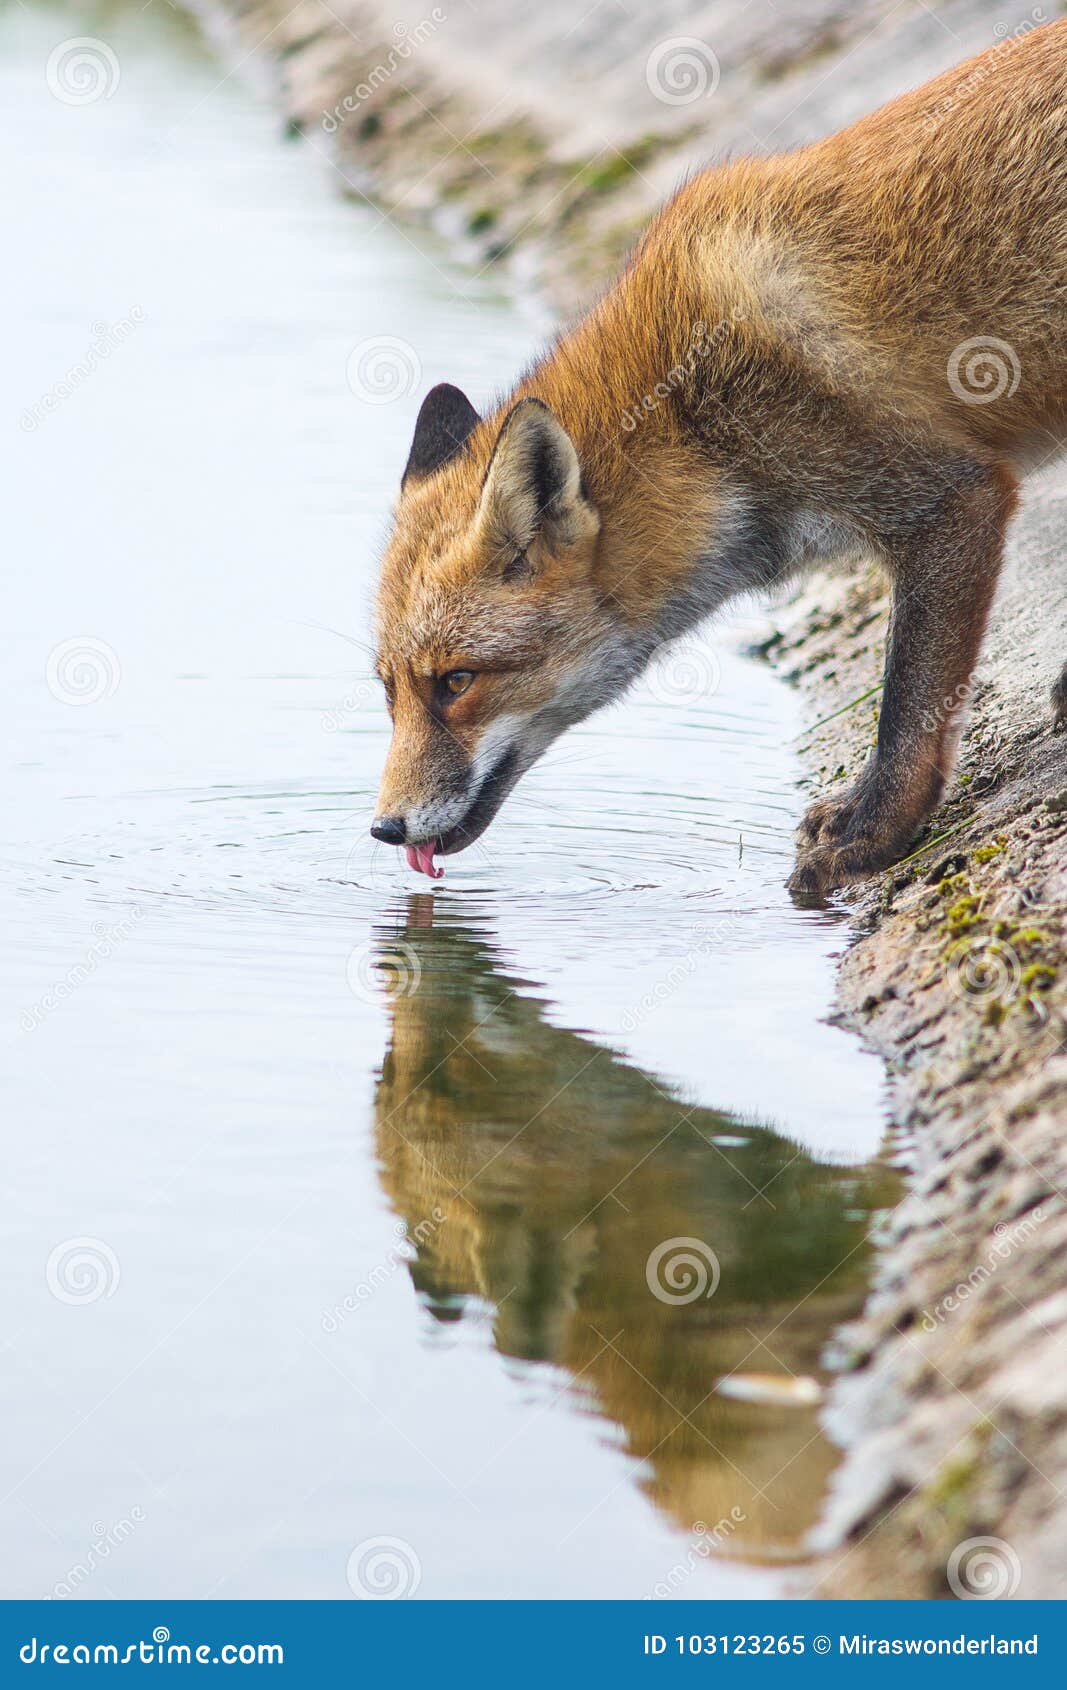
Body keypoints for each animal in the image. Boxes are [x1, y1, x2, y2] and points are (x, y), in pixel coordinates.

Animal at [371, 21, 1067, 895]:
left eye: (456, 682)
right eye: (387, 691)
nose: (384, 829)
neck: (688, 416)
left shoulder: (945, 500)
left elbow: (907, 704)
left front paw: (875, 829)